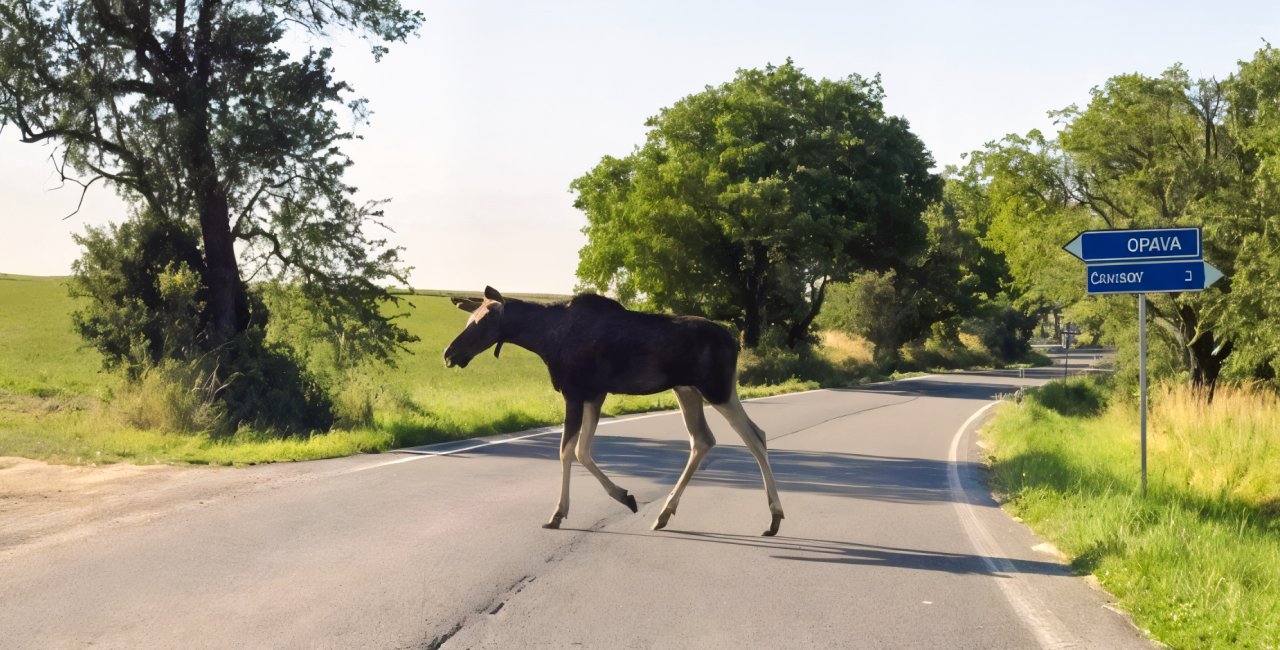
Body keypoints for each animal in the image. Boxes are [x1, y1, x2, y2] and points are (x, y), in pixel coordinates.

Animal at [443, 287, 785, 536]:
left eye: (481, 322)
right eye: (469, 318)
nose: (449, 353)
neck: (543, 339)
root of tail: (735, 342)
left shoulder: (576, 392)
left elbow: (566, 451)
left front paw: (558, 513)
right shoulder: (595, 394)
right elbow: (582, 450)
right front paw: (624, 497)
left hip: (716, 389)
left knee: (754, 437)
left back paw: (774, 517)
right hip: (689, 389)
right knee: (706, 439)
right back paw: (665, 514)